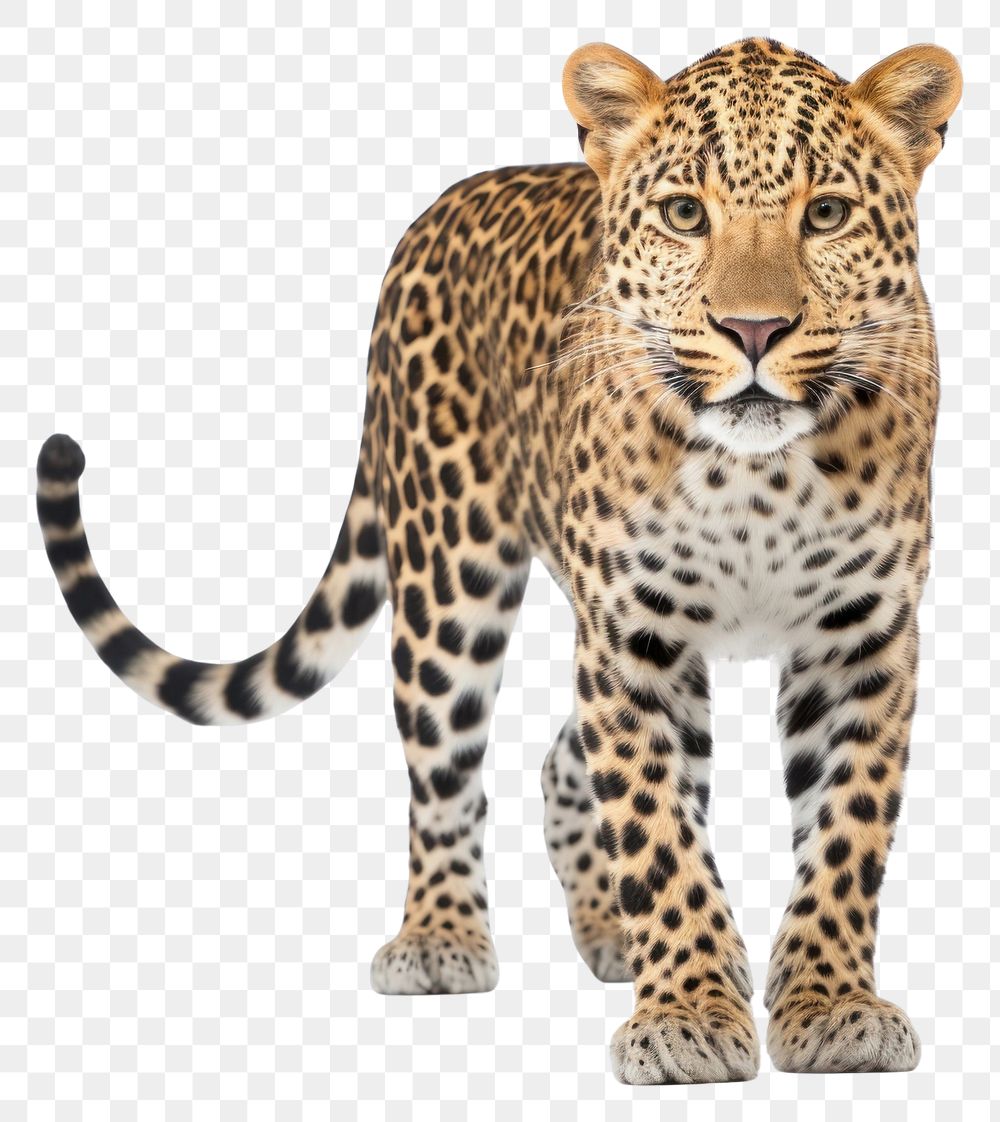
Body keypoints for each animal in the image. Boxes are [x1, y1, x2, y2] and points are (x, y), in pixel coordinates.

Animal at [35, 38, 961, 1084]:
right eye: (686, 214)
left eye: (827, 214)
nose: (754, 331)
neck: (757, 481)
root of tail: (443, 207)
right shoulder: (632, 636)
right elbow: (660, 830)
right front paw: (687, 1011)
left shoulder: (862, 638)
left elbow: (847, 828)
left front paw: (831, 1004)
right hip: (449, 574)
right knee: (446, 772)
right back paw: (443, 938)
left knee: (563, 757)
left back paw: (610, 930)